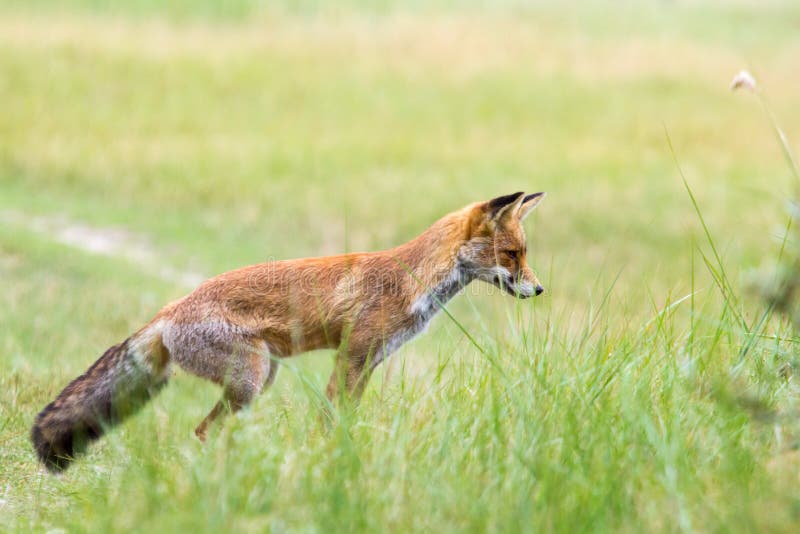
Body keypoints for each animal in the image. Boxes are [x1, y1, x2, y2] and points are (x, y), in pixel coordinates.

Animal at [31, 191, 546, 472]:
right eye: (511, 254)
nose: (539, 289)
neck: (411, 280)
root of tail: (170, 309)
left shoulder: (369, 361)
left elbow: (346, 417)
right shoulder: (352, 355)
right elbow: (331, 419)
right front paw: (327, 459)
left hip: (260, 380)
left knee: (208, 431)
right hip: (252, 378)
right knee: (202, 431)